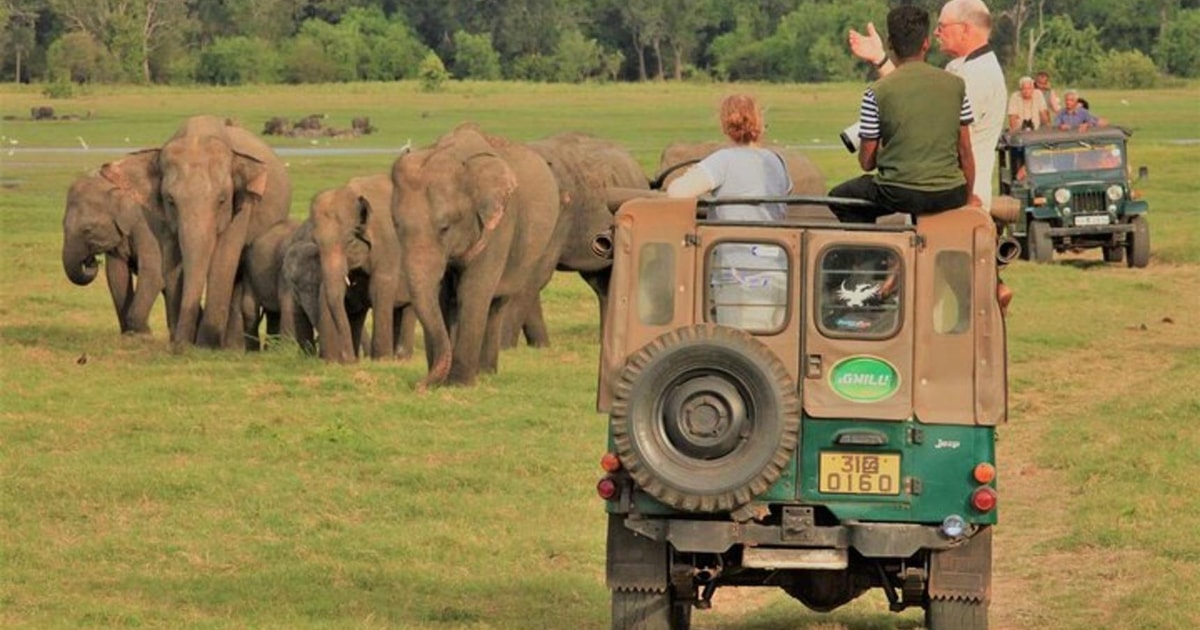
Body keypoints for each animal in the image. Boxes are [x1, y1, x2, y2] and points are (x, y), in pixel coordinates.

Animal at [61, 149, 181, 335]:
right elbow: (116, 274)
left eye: (88, 229)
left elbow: (153, 273)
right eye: (62, 225)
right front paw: (128, 334)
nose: (91, 260)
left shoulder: (152, 227)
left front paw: (143, 334)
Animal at [158, 115, 292, 349]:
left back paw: (233, 348)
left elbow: (224, 257)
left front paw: (205, 346)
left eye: (221, 200)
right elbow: (171, 261)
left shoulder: (243, 204)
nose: (181, 348)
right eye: (170, 201)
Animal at [310, 173, 415, 363]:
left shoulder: (388, 244)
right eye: (316, 244)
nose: (348, 358)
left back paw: (401, 358)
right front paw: (331, 362)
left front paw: (381, 360)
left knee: (409, 308)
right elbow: (333, 294)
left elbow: (379, 288)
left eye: (350, 241)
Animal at [391, 123, 561, 388]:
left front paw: (458, 384)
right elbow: (442, 296)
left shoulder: (500, 223)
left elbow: (473, 290)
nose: (420, 385)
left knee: (496, 303)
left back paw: (486, 372)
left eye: (445, 228)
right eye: (397, 226)